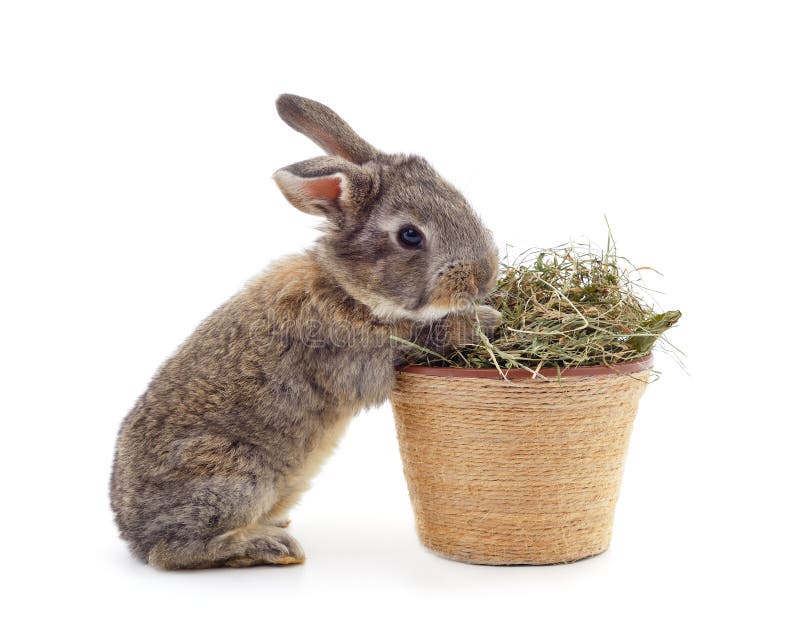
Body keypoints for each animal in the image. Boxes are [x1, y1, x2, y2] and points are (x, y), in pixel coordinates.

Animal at [110, 94, 500, 569]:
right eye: (410, 236)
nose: (484, 277)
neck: (349, 289)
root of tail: (132, 535)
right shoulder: (355, 354)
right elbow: (425, 338)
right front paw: (486, 319)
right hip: (234, 476)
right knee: (172, 553)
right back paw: (270, 546)